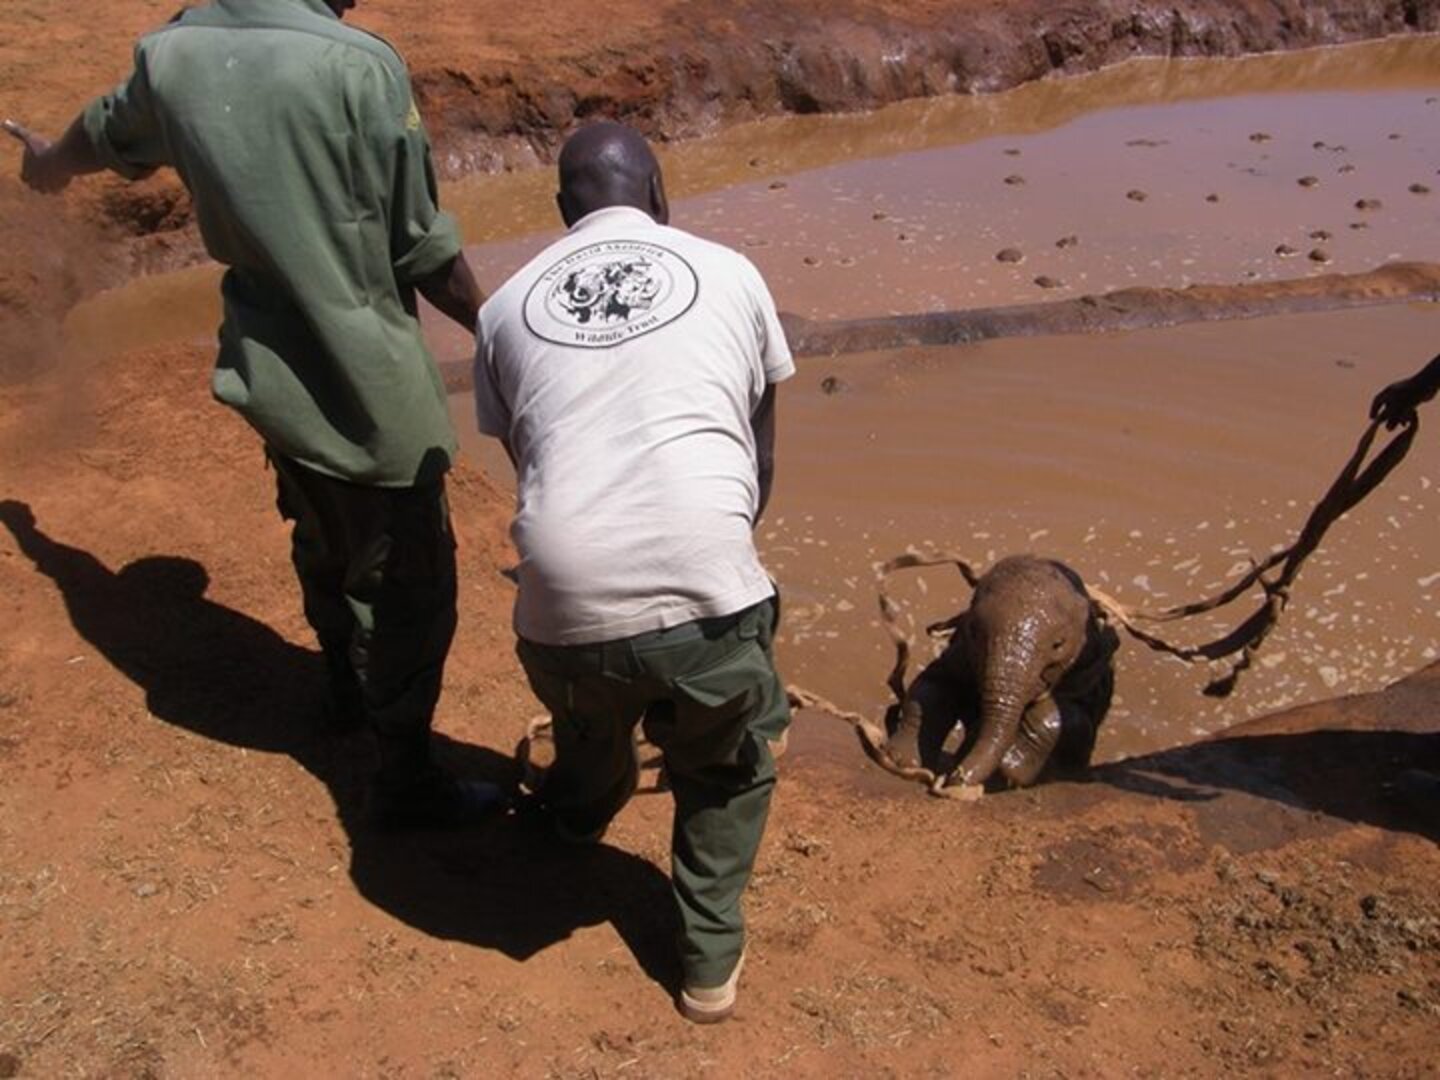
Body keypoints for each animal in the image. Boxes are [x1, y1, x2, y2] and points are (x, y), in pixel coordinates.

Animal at [884, 554, 1118, 792]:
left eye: (1058, 645)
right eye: (974, 631)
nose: (958, 777)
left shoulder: (1088, 669)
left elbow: (1069, 717)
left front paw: (1008, 769)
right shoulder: (961, 653)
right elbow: (933, 687)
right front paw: (902, 759)